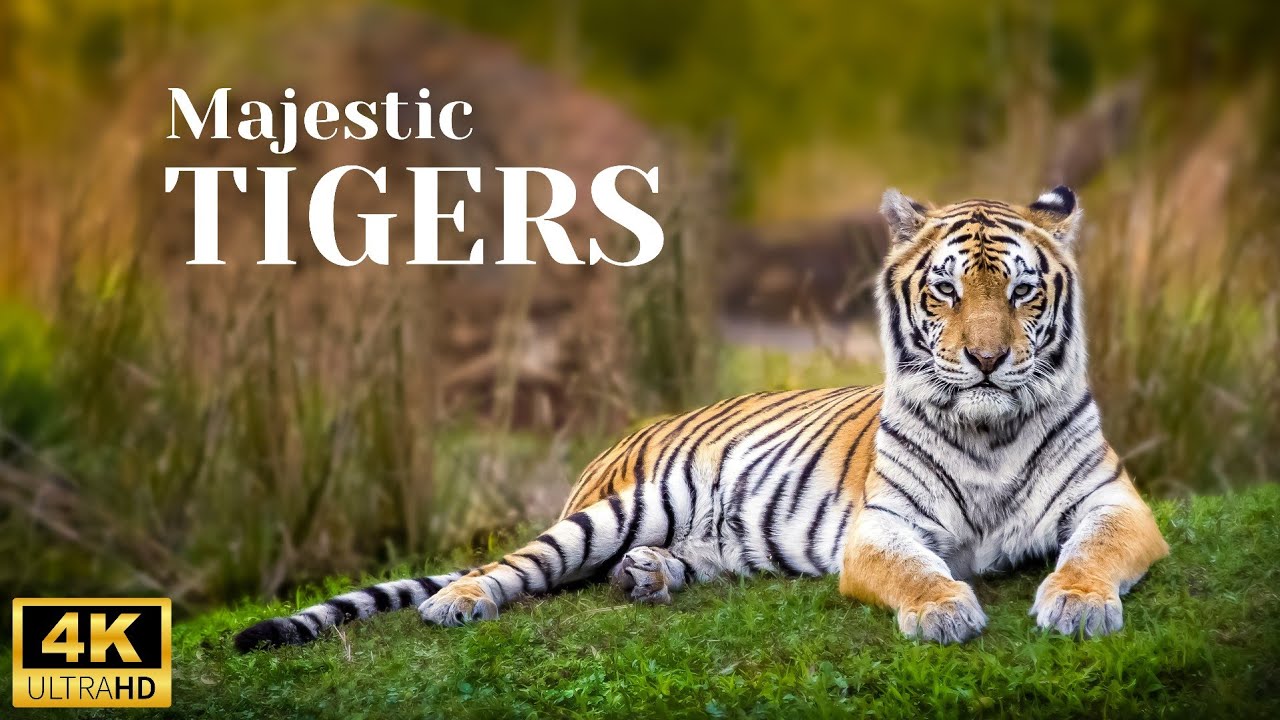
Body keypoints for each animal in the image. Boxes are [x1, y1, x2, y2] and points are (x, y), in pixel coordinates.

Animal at [235, 185, 1168, 650]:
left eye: (1021, 292)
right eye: (945, 291)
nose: (984, 359)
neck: (989, 428)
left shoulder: (1117, 503)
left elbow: (1093, 553)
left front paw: (1077, 605)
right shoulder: (883, 526)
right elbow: (915, 569)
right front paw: (944, 611)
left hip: (712, 535)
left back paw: (646, 576)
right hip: (621, 507)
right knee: (520, 565)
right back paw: (460, 602)